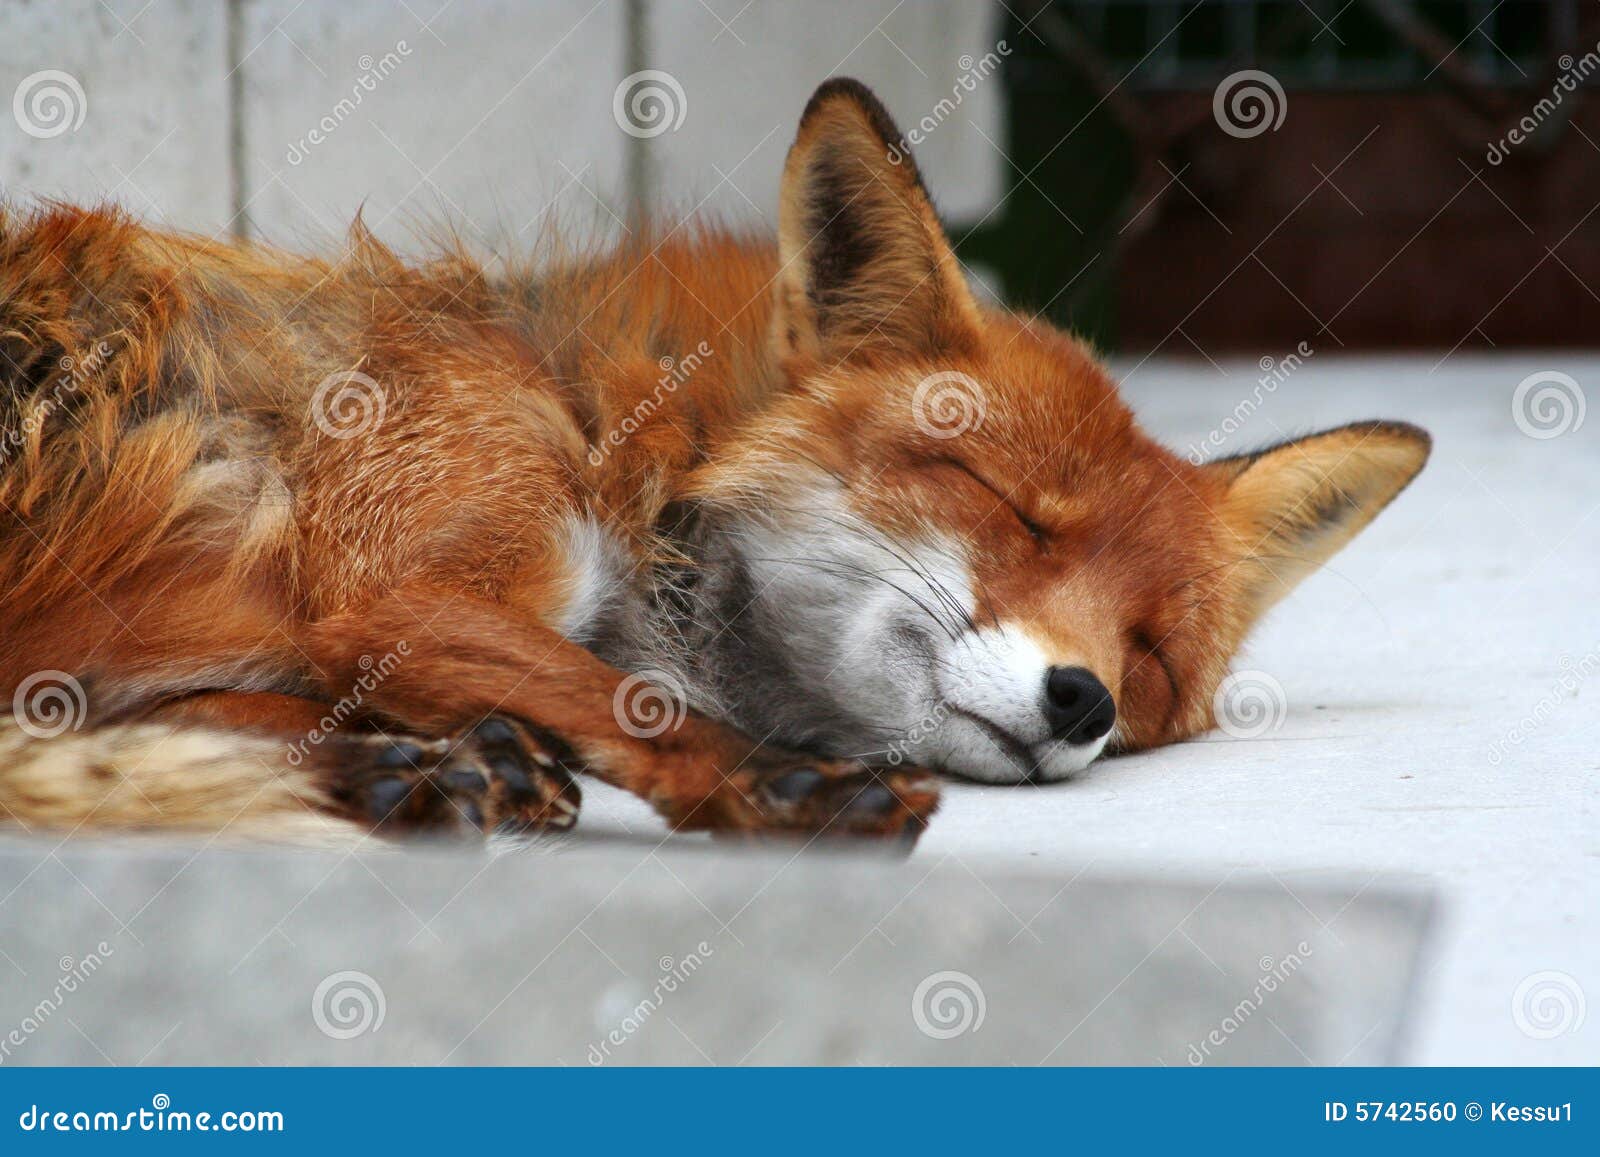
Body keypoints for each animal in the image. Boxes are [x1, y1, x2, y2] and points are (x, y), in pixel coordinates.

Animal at [0, 79, 1429, 847]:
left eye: (1150, 655)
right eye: (1012, 513)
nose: (1080, 699)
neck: (608, 425)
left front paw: (412, 760)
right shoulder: (395, 582)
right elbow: (641, 702)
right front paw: (774, 783)